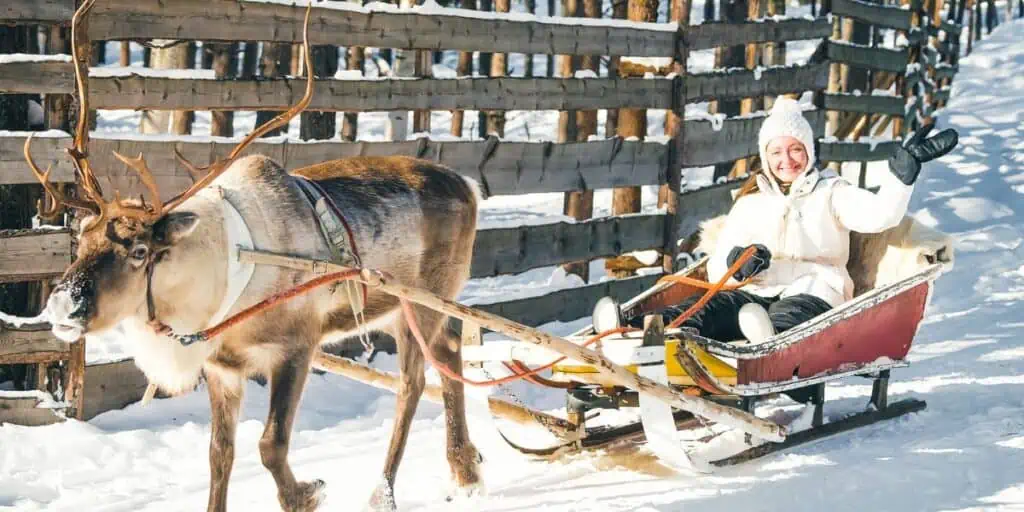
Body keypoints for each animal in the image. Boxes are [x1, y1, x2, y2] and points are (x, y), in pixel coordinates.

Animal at [28, 1, 483, 510]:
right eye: (82, 240)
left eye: (141, 251)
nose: (62, 305)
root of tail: (468, 186)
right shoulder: (222, 368)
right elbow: (219, 455)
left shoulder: (296, 347)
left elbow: (271, 444)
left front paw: (306, 493)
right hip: (401, 308)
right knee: (450, 350)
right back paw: (465, 469)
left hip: (420, 303)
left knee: (414, 381)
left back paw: (384, 490)